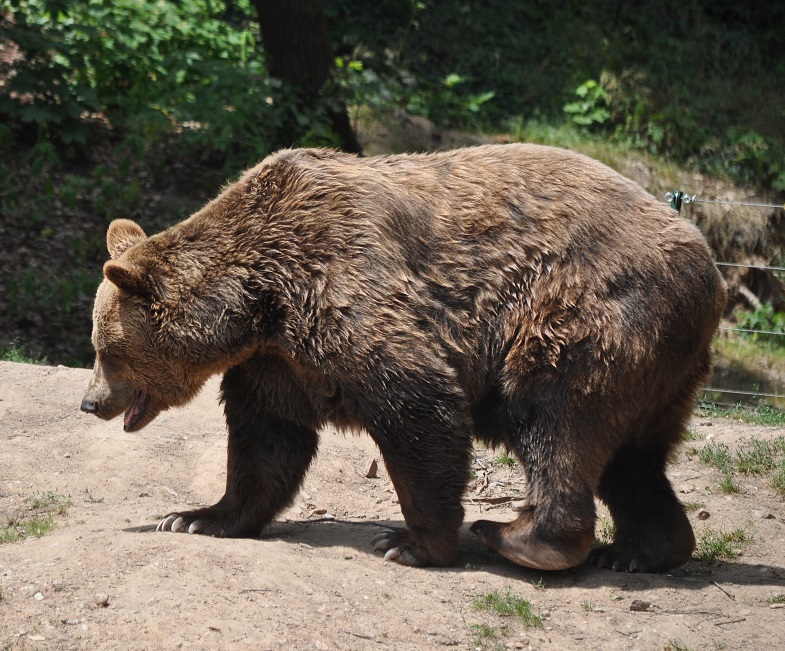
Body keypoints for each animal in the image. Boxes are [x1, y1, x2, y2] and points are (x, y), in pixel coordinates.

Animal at [81, 144, 727, 573]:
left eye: (107, 351)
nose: (90, 402)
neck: (257, 301)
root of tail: (711, 269)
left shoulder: (345, 288)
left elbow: (417, 404)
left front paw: (409, 543)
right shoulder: (279, 359)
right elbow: (267, 439)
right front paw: (196, 517)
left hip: (586, 310)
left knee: (556, 418)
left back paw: (517, 535)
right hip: (663, 366)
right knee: (632, 457)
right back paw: (642, 552)